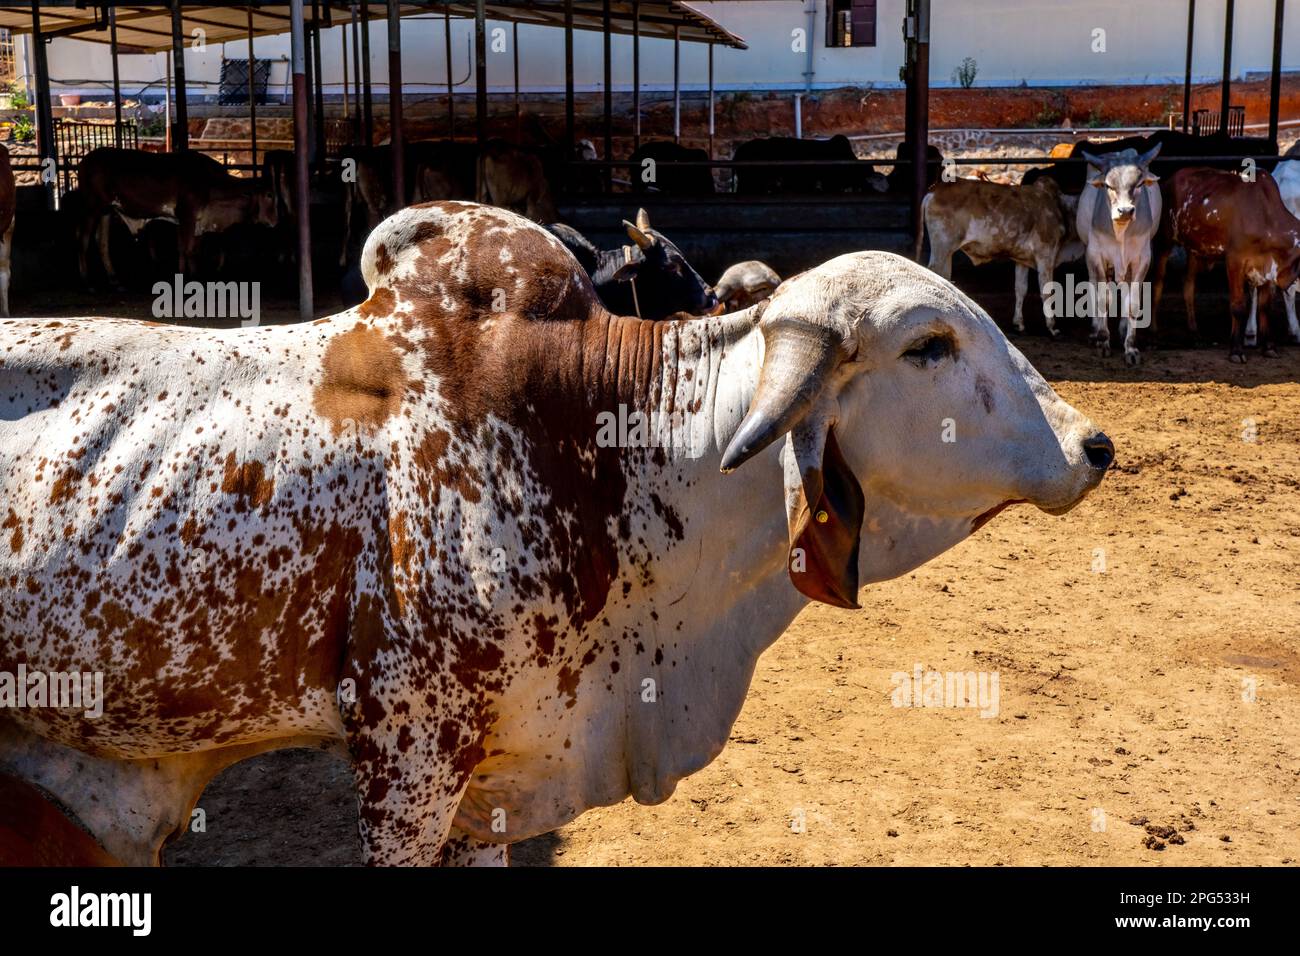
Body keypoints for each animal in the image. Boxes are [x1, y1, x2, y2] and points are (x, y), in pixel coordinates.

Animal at [76, 147, 278, 284]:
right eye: (269, 195)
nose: (275, 221)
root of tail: (86, 161)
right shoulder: (187, 215)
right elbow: (188, 250)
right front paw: (191, 278)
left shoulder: (194, 221)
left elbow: (186, 250)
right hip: (91, 207)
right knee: (83, 240)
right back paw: (86, 279)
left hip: (106, 210)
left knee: (102, 243)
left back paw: (113, 278)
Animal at [918, 177, 1083, 336]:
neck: (1062, 209)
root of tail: (935, 189)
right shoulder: (1045, 256)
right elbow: (1047, 292)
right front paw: (1052, 328)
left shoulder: (1022, 260)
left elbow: (1021, 289)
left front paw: (1019, 324)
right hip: (942, 249)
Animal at [1075, 146, 1162, 364]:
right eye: (1108, 185)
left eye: (1139, 184)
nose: (1125, 210)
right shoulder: (1096, 254)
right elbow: (1103, 298)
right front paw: (1103, 341)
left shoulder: (1142, 258)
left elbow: (1132, 303)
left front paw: (1131, 348)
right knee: (1094, 285)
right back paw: (1095, 331)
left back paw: (1123, 329)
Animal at [1149, 167, 1300, 361]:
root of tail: (1170, 180)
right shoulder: (1235, 260)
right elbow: (1238, 306)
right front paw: (1236, 350)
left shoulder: (1266, 266)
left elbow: (1265, 307)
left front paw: (1268, 347)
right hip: (1164, 242)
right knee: (1157, 286)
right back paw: (1154, 336)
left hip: (1194, 249)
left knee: (1188, 286)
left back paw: (1195, 334)